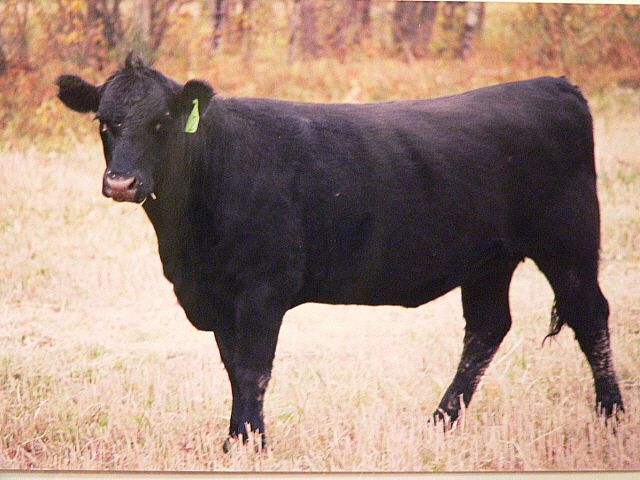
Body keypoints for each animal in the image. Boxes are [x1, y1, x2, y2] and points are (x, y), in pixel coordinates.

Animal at [56, 54, 624, 451]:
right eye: (104, 122)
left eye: (162, 123)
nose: (122, 183)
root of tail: (554, 84)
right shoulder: (216, 296)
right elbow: (232, 367)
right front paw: (236, 438)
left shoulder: (261, 289)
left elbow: (253, 369)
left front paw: (251, 443)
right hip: (489, 258)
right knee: (487, 328)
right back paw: (439, 422)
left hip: (568, 241)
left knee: (589, 315)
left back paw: (612, 417)